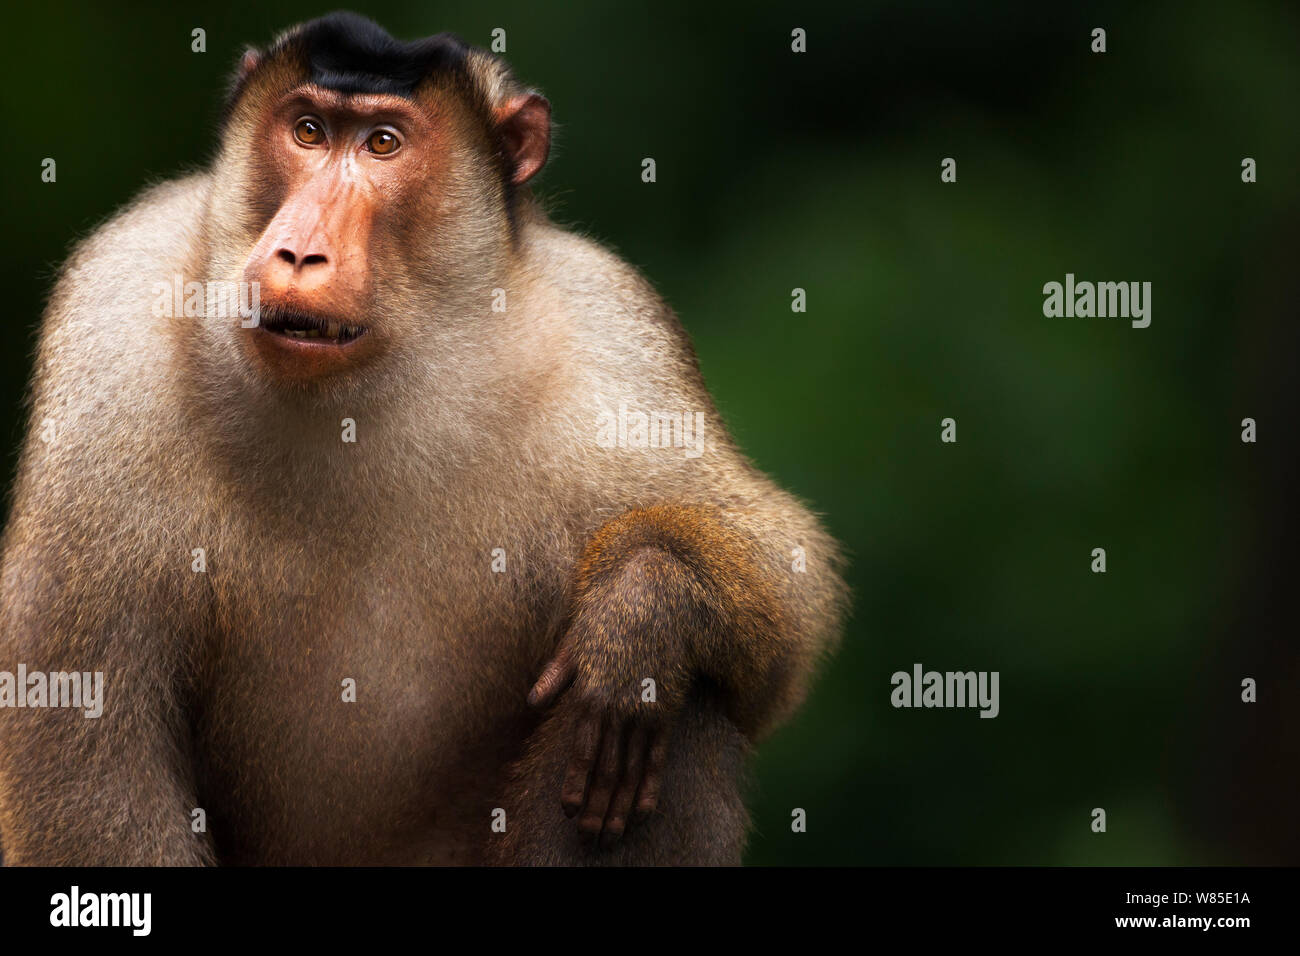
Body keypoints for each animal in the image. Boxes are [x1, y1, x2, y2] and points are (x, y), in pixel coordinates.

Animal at [0, 12, 845, 866]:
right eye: (308, 131)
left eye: (384, 144)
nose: (299, 251)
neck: (360, 391)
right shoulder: (114, 312)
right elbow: (80, 729)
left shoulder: (613, 335)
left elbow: (786, 592)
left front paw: (648, 606)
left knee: (683, 703)